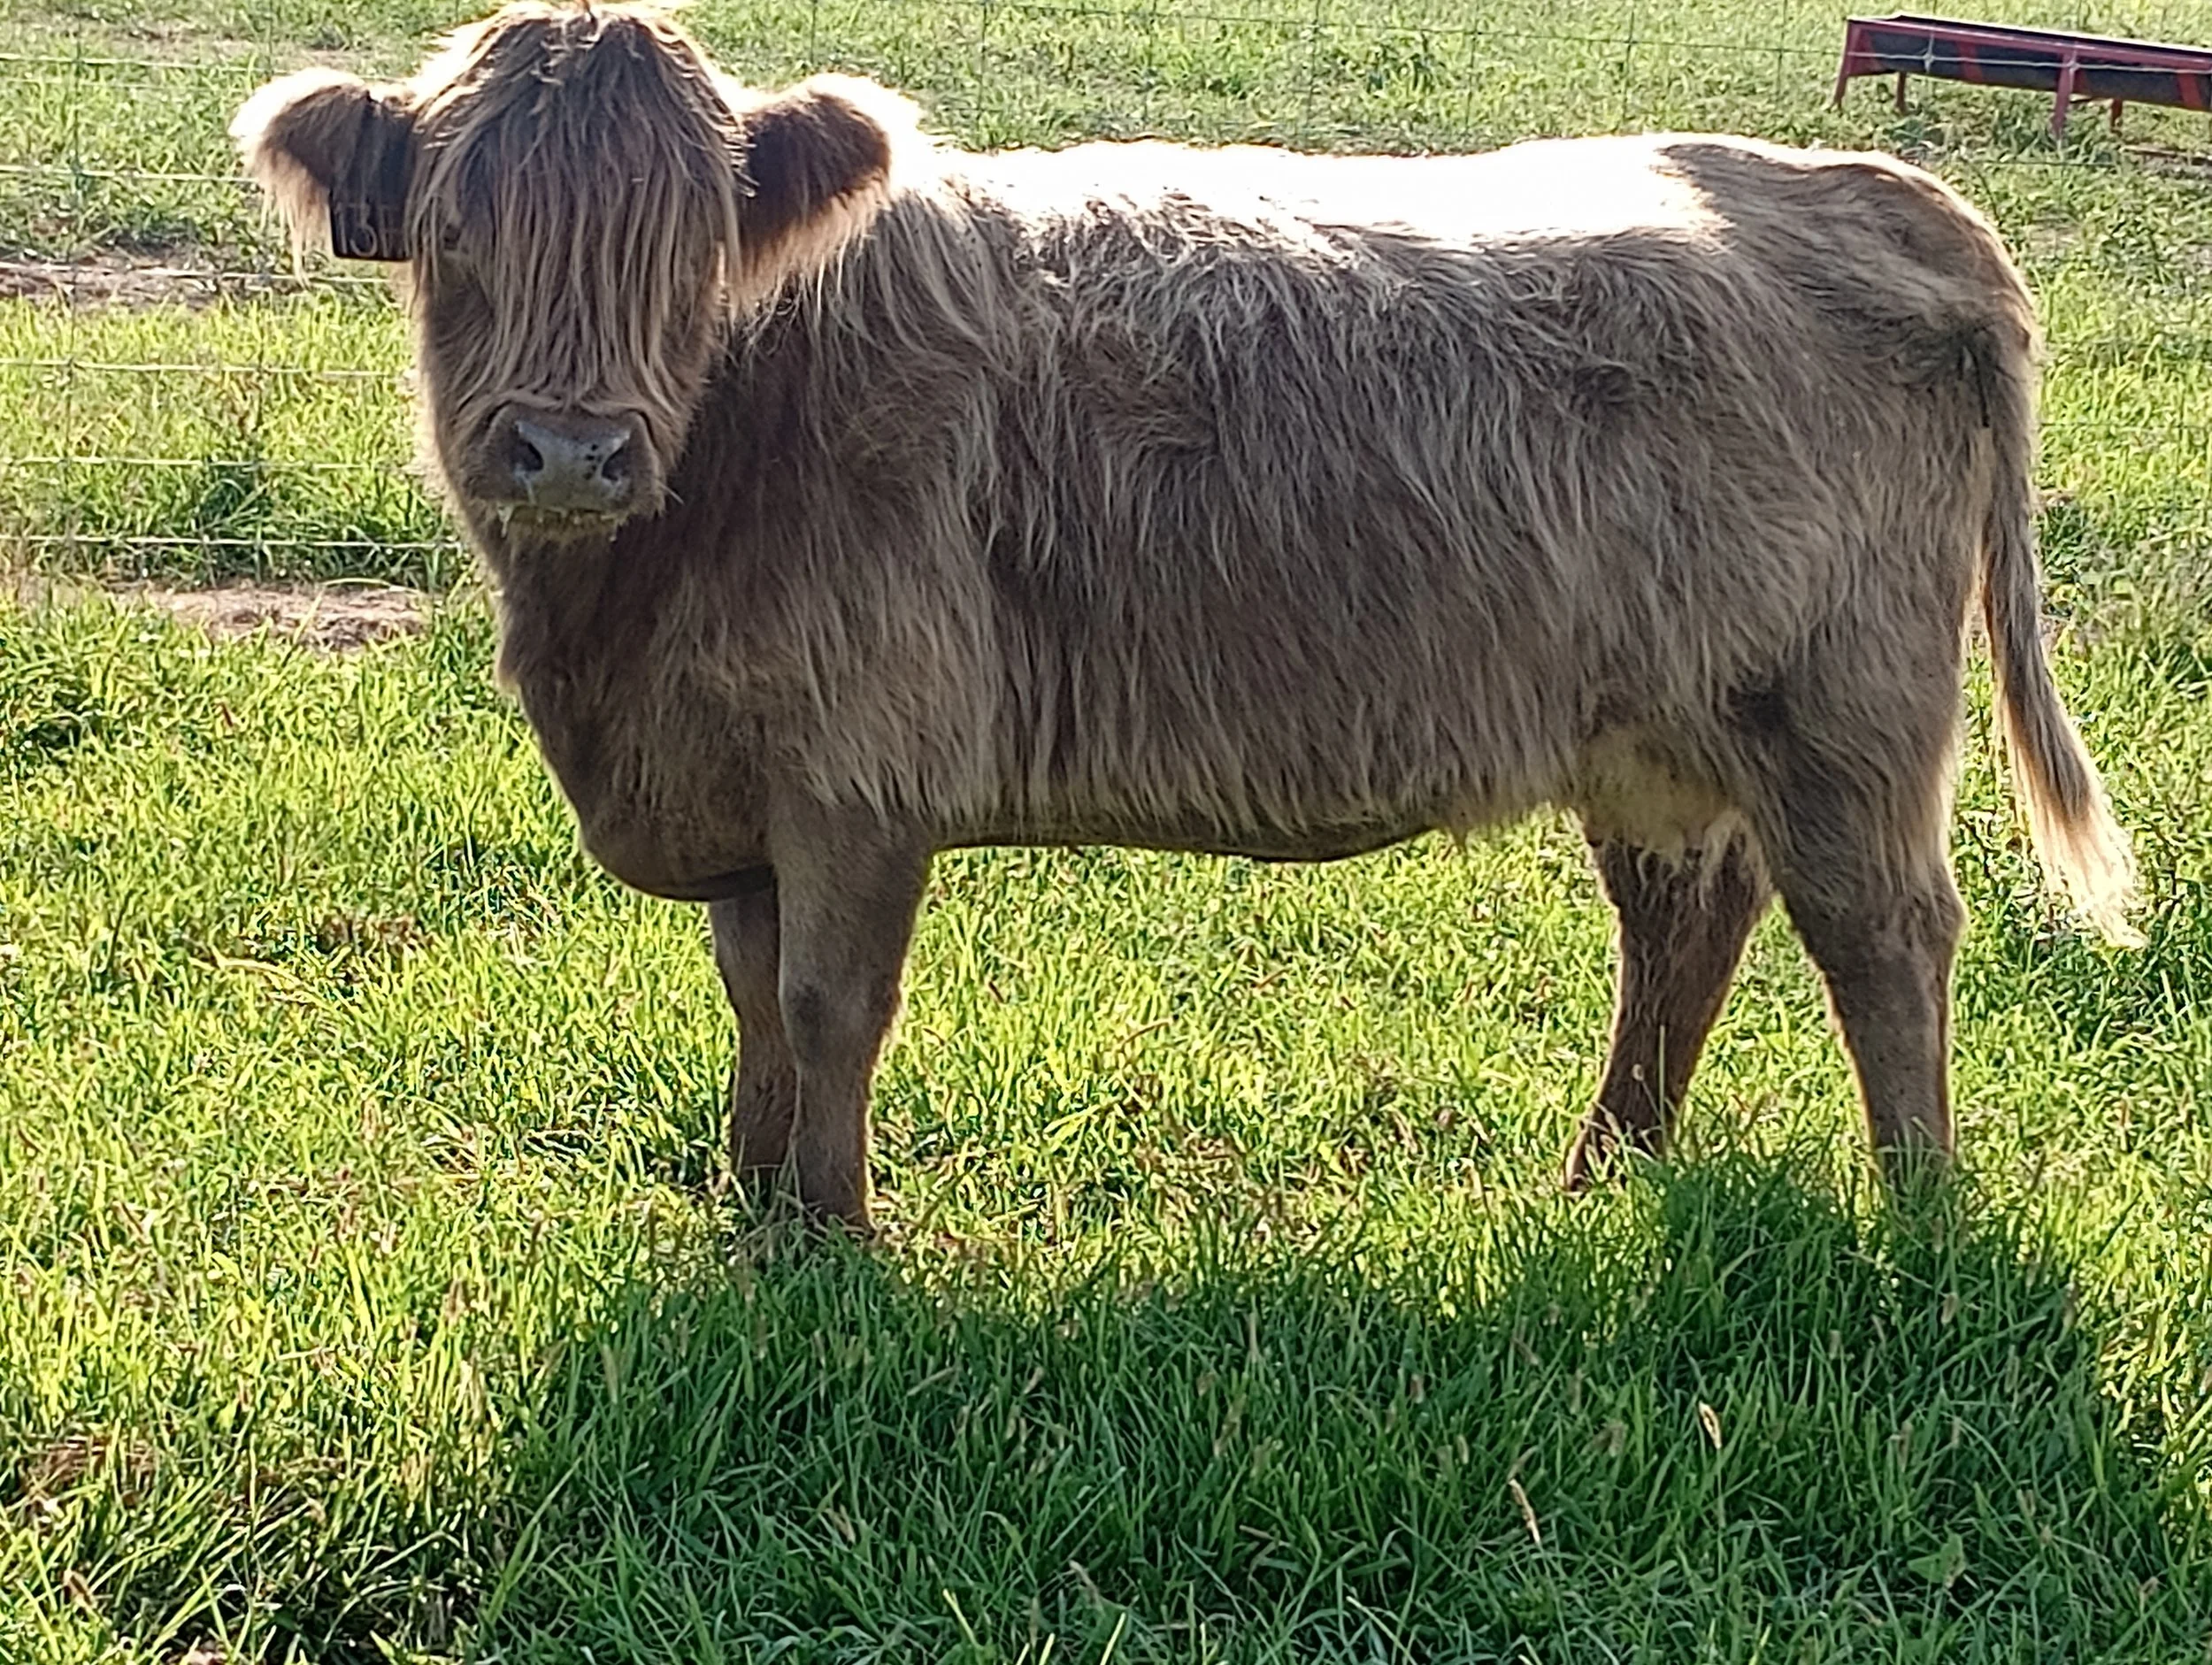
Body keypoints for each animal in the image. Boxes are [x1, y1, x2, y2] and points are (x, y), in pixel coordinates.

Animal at [235, 1, 2138, 1230]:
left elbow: (833, 1002)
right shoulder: (735, 783)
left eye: (693, 243)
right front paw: (750, 1201)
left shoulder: (857, 777)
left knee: (1880, 930)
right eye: (457, 234)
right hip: (1657, 731)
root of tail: (1850, 183)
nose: (570, 446)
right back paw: (1608, 1173)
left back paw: (1913, 1211)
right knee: (1688, 919)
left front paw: (832, 1244)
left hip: (1840, 713)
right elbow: (751, 999)